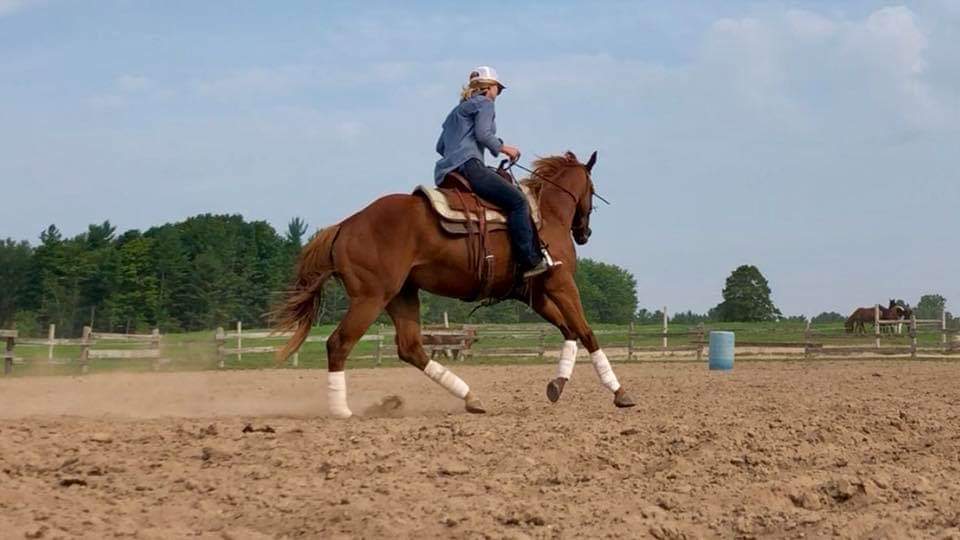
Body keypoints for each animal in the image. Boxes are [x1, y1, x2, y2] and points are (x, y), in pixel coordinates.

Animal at [272, 151, 636, 418]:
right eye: (591, 189)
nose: (585, 232)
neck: (545, 215)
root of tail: (345, 225)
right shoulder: (561, 284)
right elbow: (586, 332)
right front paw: (620, 393)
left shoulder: (535, 293)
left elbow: (569, 330)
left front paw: (557, 385)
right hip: (371, 297)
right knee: (339, 344)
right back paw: (342, 411)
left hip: (402, 295)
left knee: (411, 348)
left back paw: (471, 398)